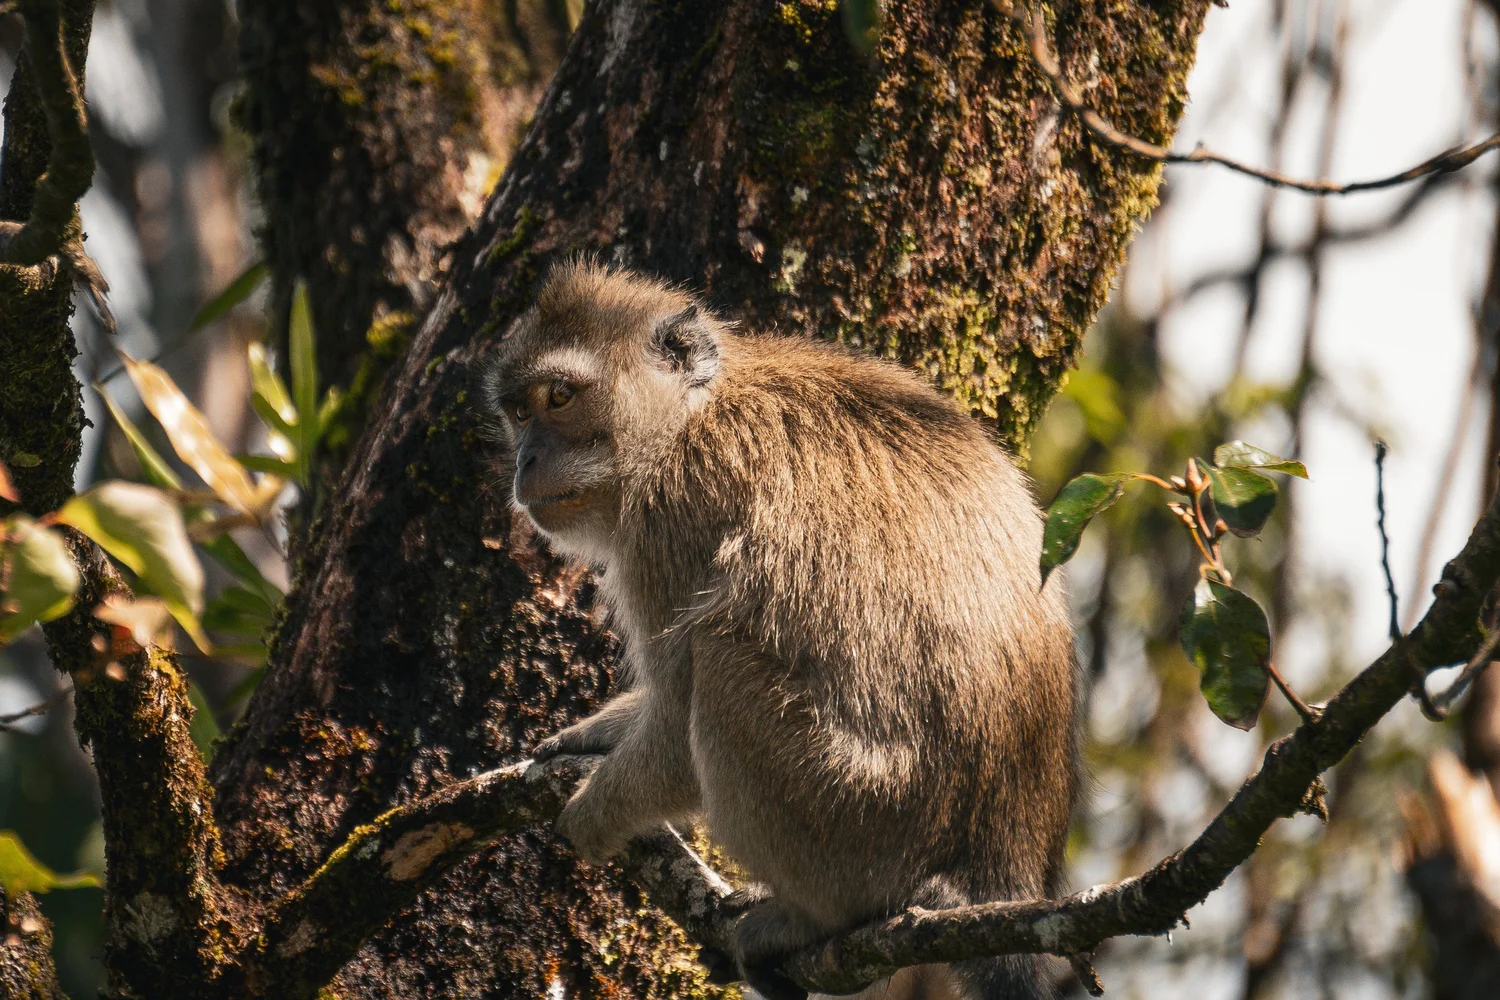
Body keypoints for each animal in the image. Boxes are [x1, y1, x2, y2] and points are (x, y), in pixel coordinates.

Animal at [475, 261, 1081, 1000]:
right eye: (520, 413)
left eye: (559, 396)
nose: (524, 462)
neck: (691, 415)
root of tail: (997, 872)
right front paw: (597, 729)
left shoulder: (669, 519)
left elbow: (675, 725)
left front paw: (596, 812)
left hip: (853, 823)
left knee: (718, 661)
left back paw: (807, 920)